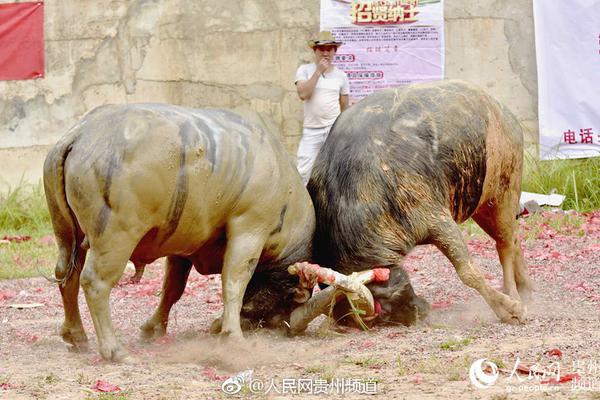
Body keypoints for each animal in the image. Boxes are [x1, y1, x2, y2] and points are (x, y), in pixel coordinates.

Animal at [43, 104, 314, 360]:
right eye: (288, 299)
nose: (284, 326)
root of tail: (80, 134)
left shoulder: (181, 247)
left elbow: (172, 288)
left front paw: (153, 327)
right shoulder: (249, 229)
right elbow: (234, 282)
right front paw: (232, 335)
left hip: (67, 234)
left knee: (67, 275)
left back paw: (75, 335)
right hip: (115, 237)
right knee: (95, 283)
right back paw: (114, 349)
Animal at [310, 79, 536, 326]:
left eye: (383, 311)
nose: (419, 313)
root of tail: (502, 110)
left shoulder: (438, 220)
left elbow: (468, 272)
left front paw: (510, 309)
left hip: (505, 189)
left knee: (504, 244)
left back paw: (514, 293)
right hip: (482, 204)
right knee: (513, 237)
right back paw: (526, 287)